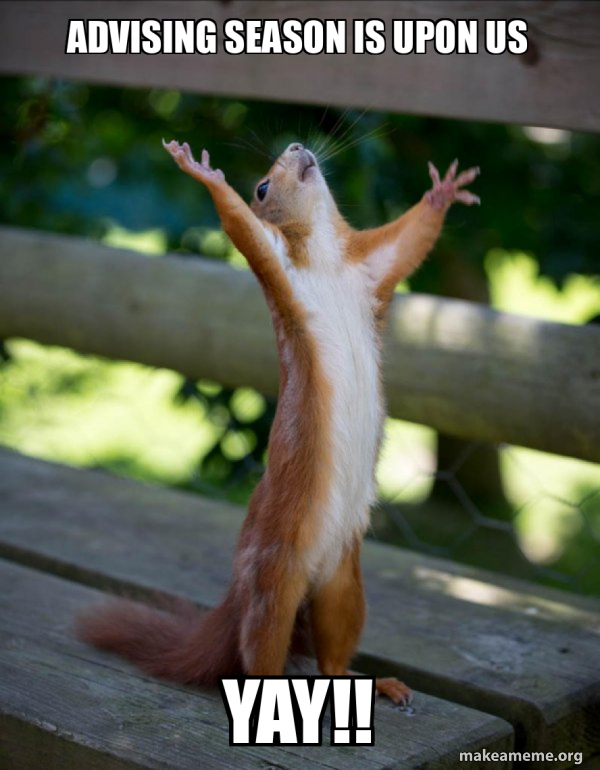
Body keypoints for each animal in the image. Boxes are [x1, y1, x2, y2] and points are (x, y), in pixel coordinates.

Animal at [77, 138, 479, 705]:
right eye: (262, 187)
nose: (296, 146)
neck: (327, 259)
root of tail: (238, 592)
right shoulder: (277, 264)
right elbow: (240, 226)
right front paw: (203, 173)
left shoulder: (372, 267)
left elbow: (410, 239)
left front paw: (442, 192)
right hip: (273, 582)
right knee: (260, 654)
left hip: (343, 584)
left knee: (334, 654)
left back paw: (372, 682)